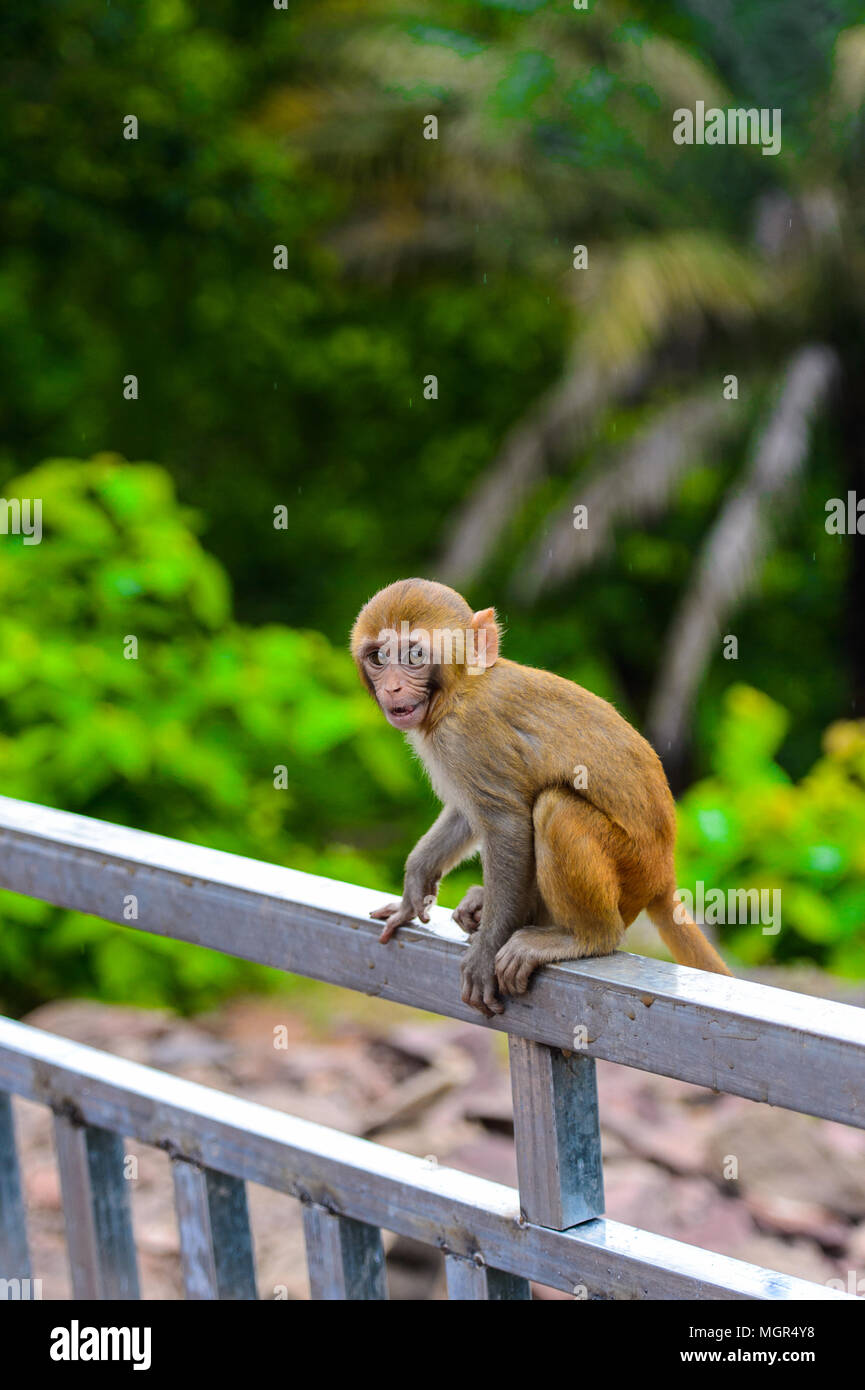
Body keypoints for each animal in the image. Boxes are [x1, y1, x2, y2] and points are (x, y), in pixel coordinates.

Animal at [350, 578, 732, 1018]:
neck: (461, 689)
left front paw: (485, 954)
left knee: (554, 808)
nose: (392, 686)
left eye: (414, 654)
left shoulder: (465, 736)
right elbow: (467, 812)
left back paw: (586, 937)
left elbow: (506, 825)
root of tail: (663, 872)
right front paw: (413, 888)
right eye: (379, 657)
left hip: (631, 869)